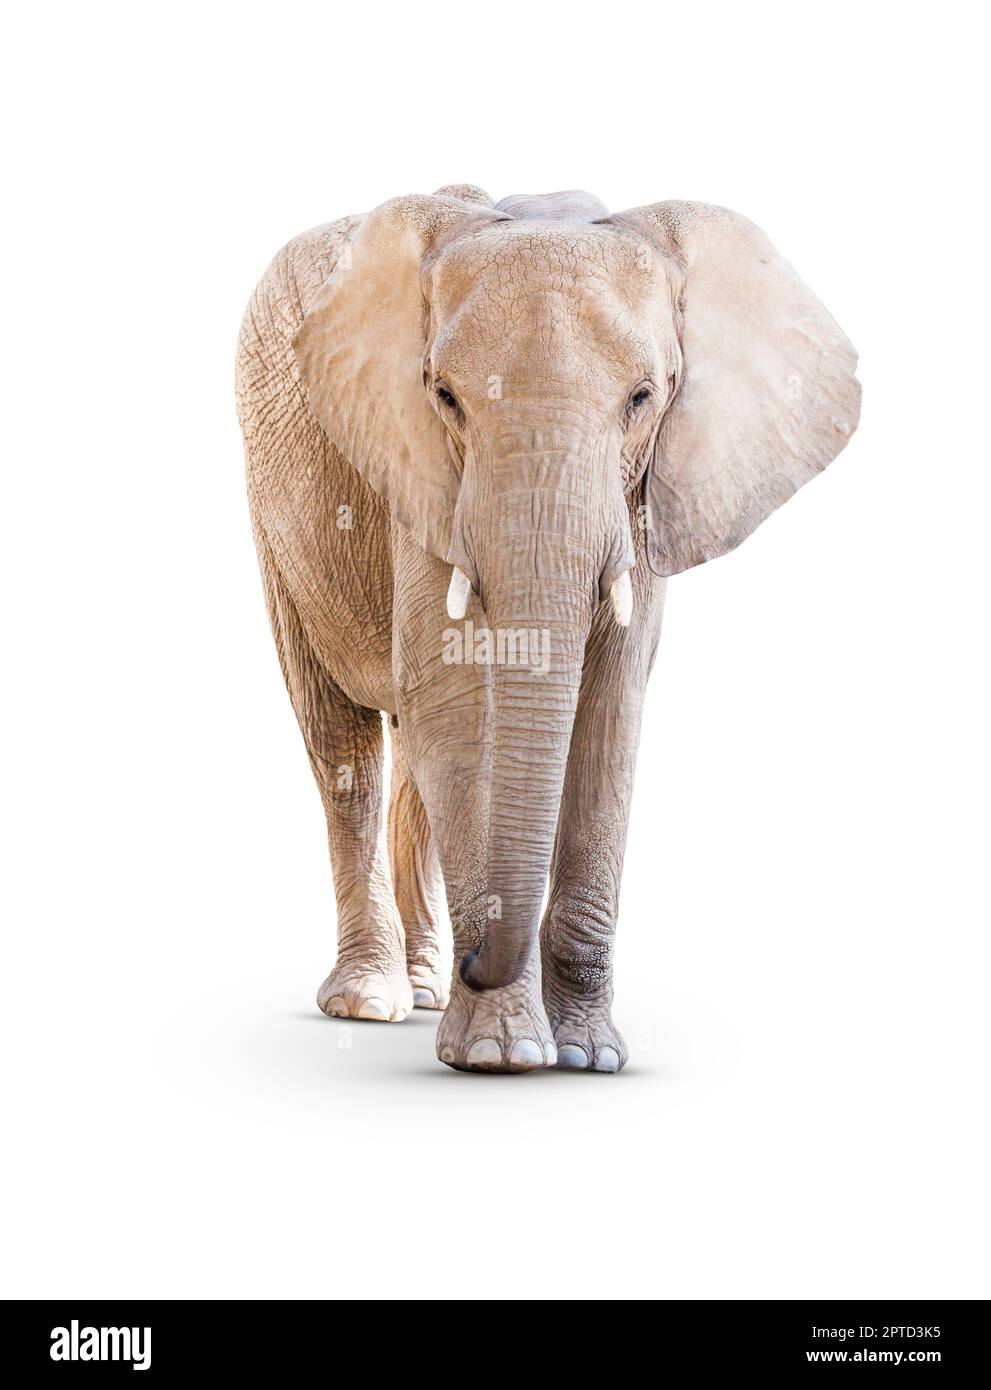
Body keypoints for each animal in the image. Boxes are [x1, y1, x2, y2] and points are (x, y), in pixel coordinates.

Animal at [235, 185, 860, 1075]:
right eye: (444, 397)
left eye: (642, 398)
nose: (478, 957)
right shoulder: (419, 472)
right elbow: (457, 709)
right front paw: (502, 1053)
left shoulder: (645, 494)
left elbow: (608, 717)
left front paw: (589, 1056)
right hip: (276, 513)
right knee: (345, 751)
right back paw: (371, 1002)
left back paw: (424, 989)